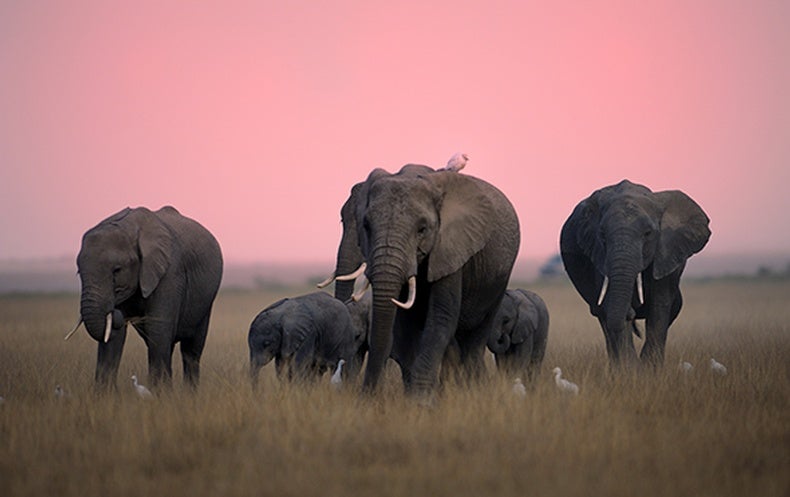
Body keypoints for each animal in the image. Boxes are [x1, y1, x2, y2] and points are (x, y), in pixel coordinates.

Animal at [70, 206, 223, 390]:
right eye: (79, 272)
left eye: (117, 270)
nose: (114, 312)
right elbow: (115, 337)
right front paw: (105, 395)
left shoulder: (170, 272)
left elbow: (158, 328)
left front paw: (160, 394)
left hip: (206, 302)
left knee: (191, 349)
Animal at [326, 165, 520, 396]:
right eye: (367, 226)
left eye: (422, 229)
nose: (367, 394)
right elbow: (405, 327)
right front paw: (414, 397)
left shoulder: (451, 248)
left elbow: (440, 319)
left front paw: (421, 399)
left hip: (499, 280)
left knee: (475, 339)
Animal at [560, 180, 710, 366]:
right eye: (602, 235)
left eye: (648, 233)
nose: (632, 311)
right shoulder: (599, 255)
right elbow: (609, 305)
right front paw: (630, 370)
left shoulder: (666, 252)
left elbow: (659, 306)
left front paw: (649, 369)